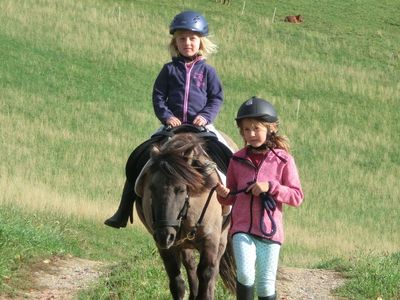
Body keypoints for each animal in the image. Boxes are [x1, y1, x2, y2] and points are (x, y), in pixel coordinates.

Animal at [136, 134, 236, 300]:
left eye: (181, 189)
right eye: (151, 188)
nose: (164, 235)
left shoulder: (210, 240)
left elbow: (206, 275)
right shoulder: (166, 248)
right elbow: (177, 282)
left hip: (221, 239)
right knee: (190, 264)